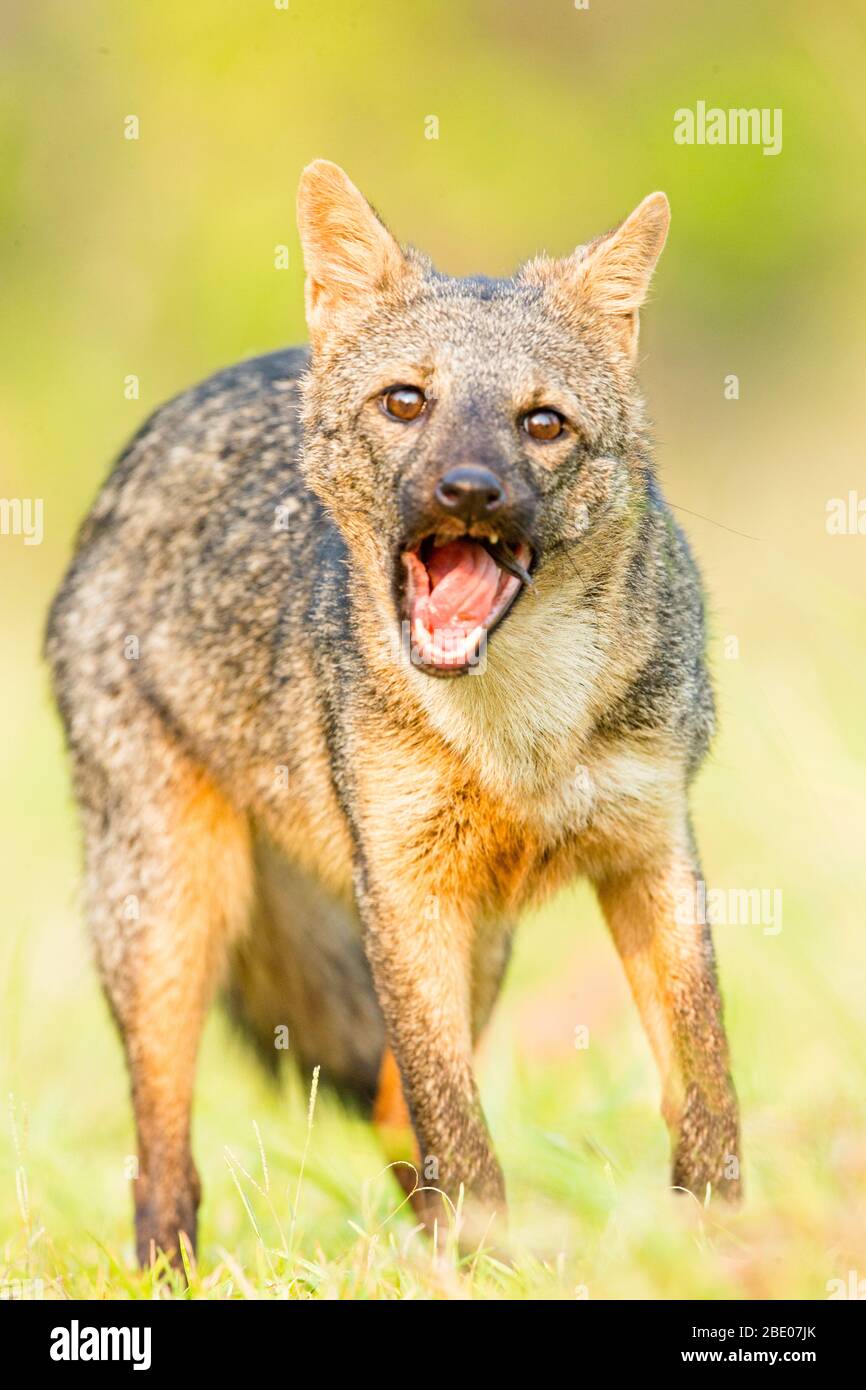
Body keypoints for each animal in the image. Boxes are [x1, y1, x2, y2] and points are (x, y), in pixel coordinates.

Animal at [46, 160, 741, 1265]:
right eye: (405, 402)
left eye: (542, 423)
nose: (468, 488)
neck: (522, 734)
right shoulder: (406, 893)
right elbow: (458, 1131)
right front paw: (495, 1267)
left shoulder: (653, 850)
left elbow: (706, 1087)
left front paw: (717, 1235)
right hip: (170, 920)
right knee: (163, 1167)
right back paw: (179, 1272)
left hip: (482, 943)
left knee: (381, 1111)